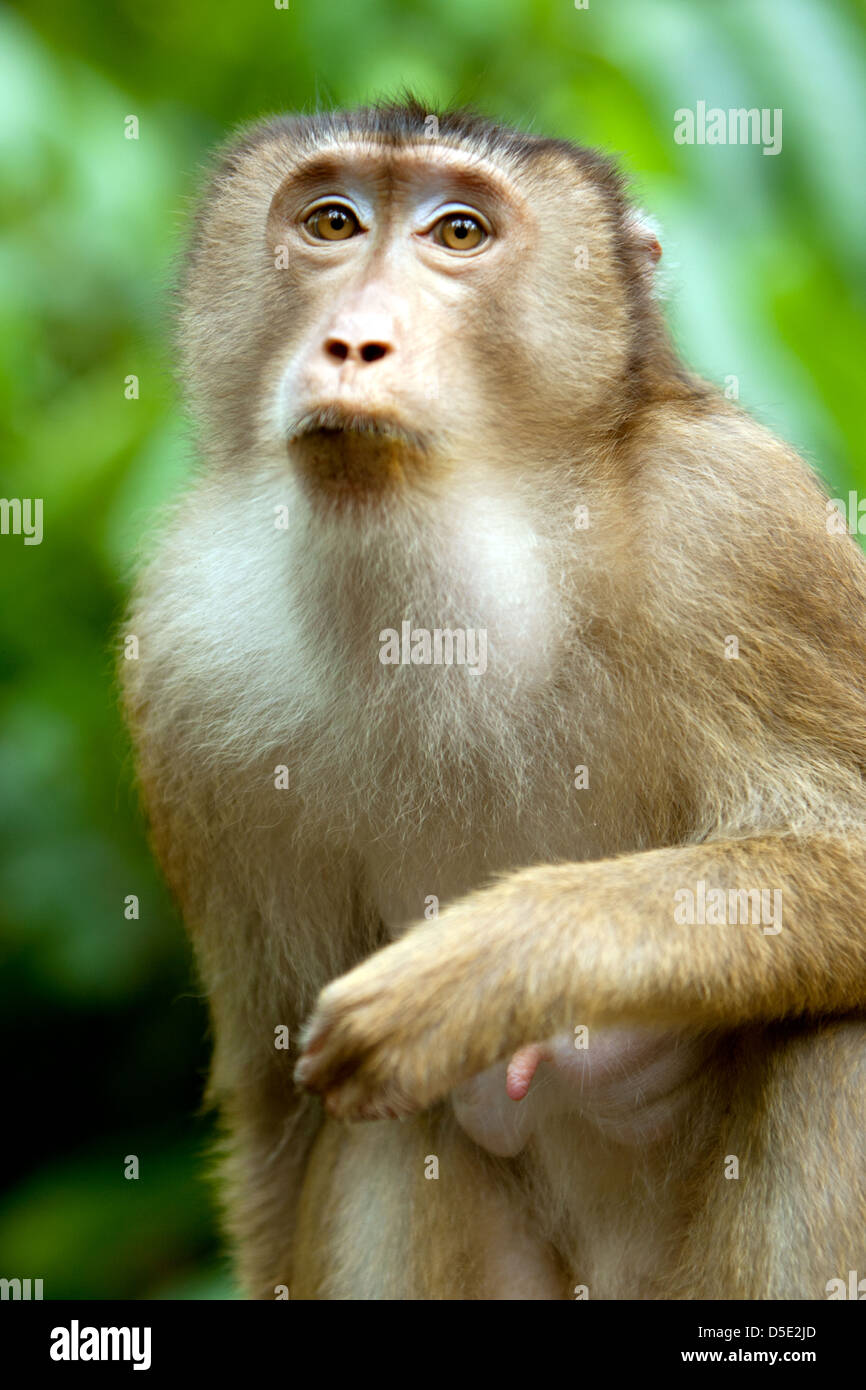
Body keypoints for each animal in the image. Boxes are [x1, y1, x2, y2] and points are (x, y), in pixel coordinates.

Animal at [123, 98, 866, 1300]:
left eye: (459, 234)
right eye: (331, 222)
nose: (355, 342)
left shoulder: (741, 527)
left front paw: (486, 963)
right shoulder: (182, 652)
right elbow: (277, 1099)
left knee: (834, 1046)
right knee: (376, 1135)